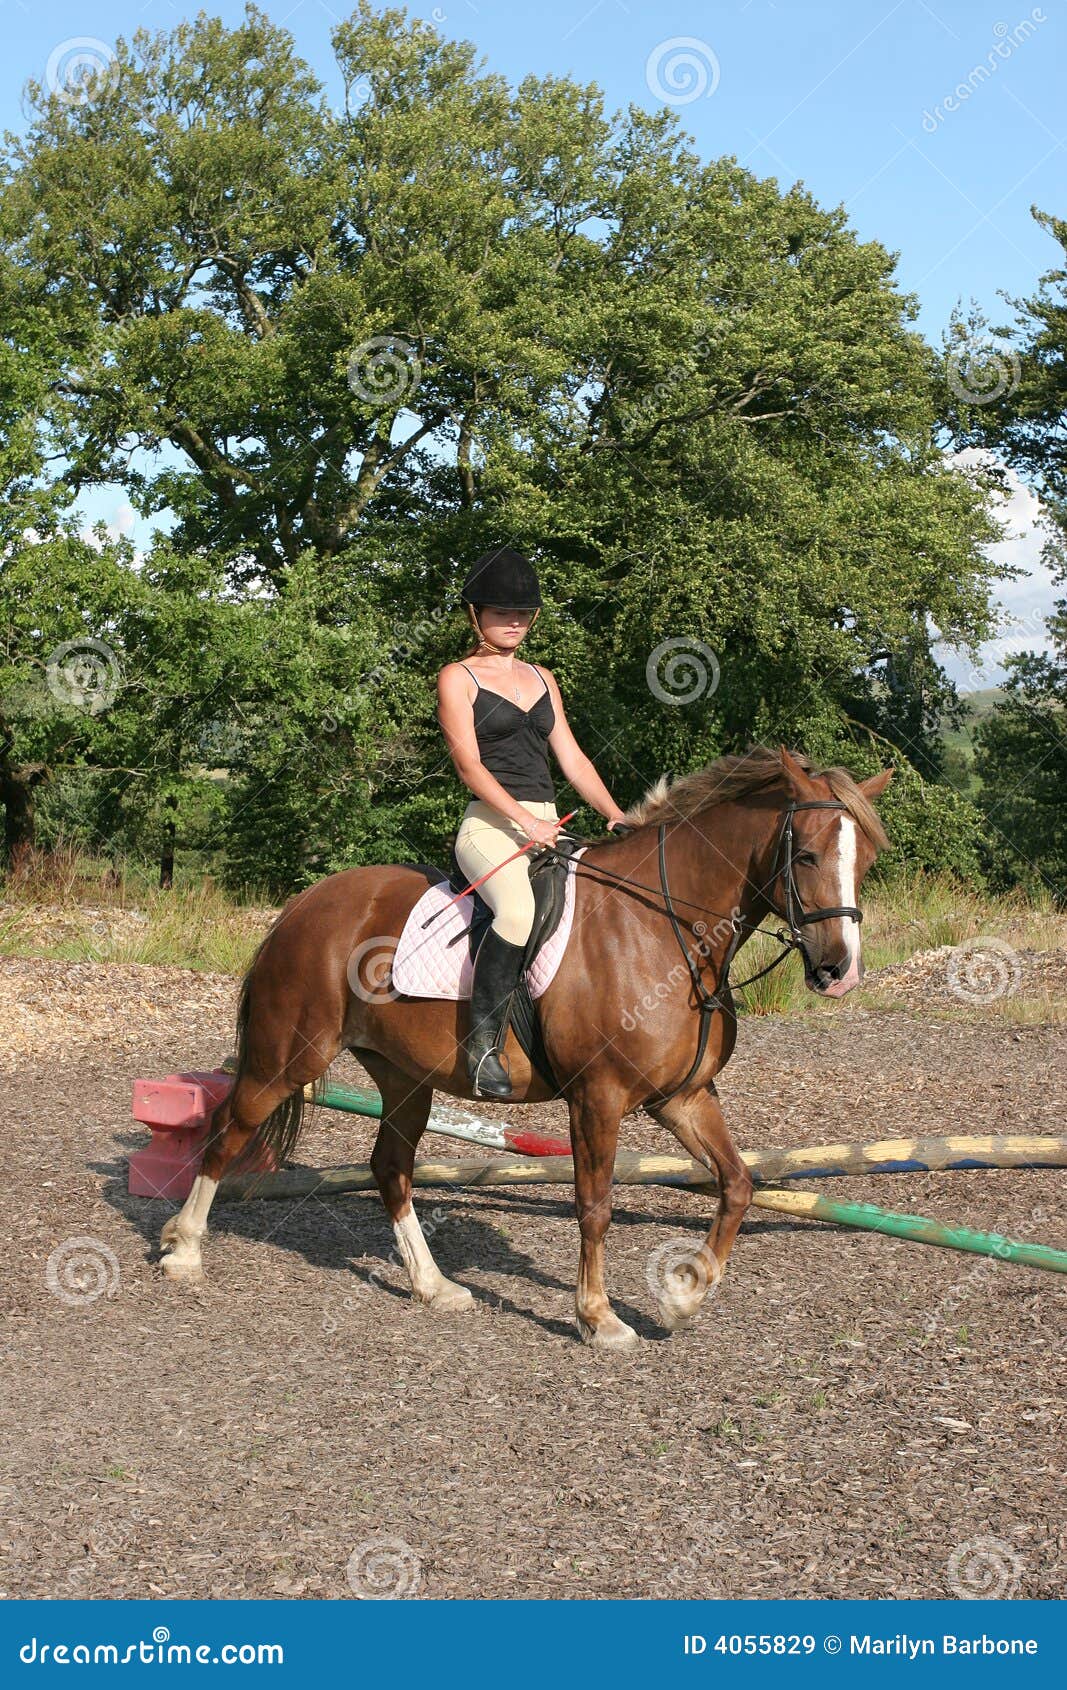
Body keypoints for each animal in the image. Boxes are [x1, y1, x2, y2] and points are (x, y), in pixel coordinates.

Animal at [159, 745, 892, 1347]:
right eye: (806, 856)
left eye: (866, 860)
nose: (839, 971)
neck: (665, 929)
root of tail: (305, 904)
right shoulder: (597, 1098)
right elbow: (594, 1206)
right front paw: (599, 1319)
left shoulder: (681, 1096)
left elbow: (738, 1183)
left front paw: (684, 1294)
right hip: (288, 1057)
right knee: (227, 1131)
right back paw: (183, 1251)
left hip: (404, 1077)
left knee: (390, 1167)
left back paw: (434, 1287)